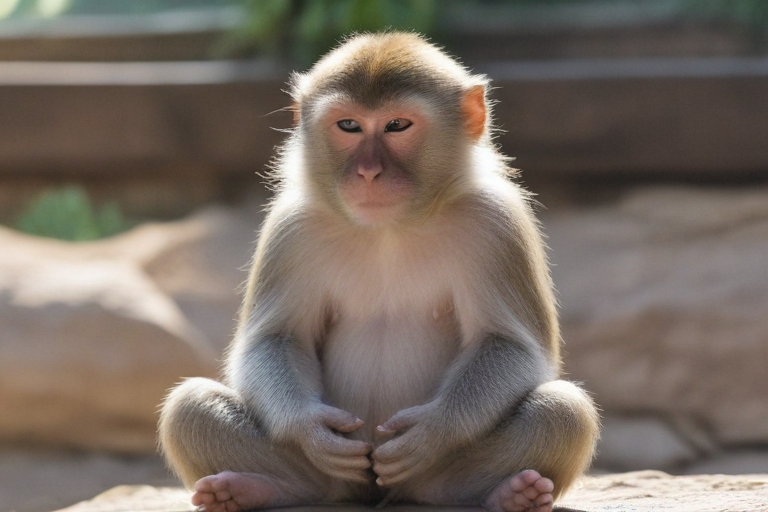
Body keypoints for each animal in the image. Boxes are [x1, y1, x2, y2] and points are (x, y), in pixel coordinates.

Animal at [158, 32, 599, 512]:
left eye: (397, 126)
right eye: (349, 126)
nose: (368, 172)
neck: (389, 228)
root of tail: (374, 495)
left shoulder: (496, 223)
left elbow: (511, 345)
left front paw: (432, 432)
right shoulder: (291, 228)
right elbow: (274, 339)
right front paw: (311, 430)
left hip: (422, 479)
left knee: (561, 411)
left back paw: (511, 492)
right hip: (337, 479)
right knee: (191, 408)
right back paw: (245, 489)